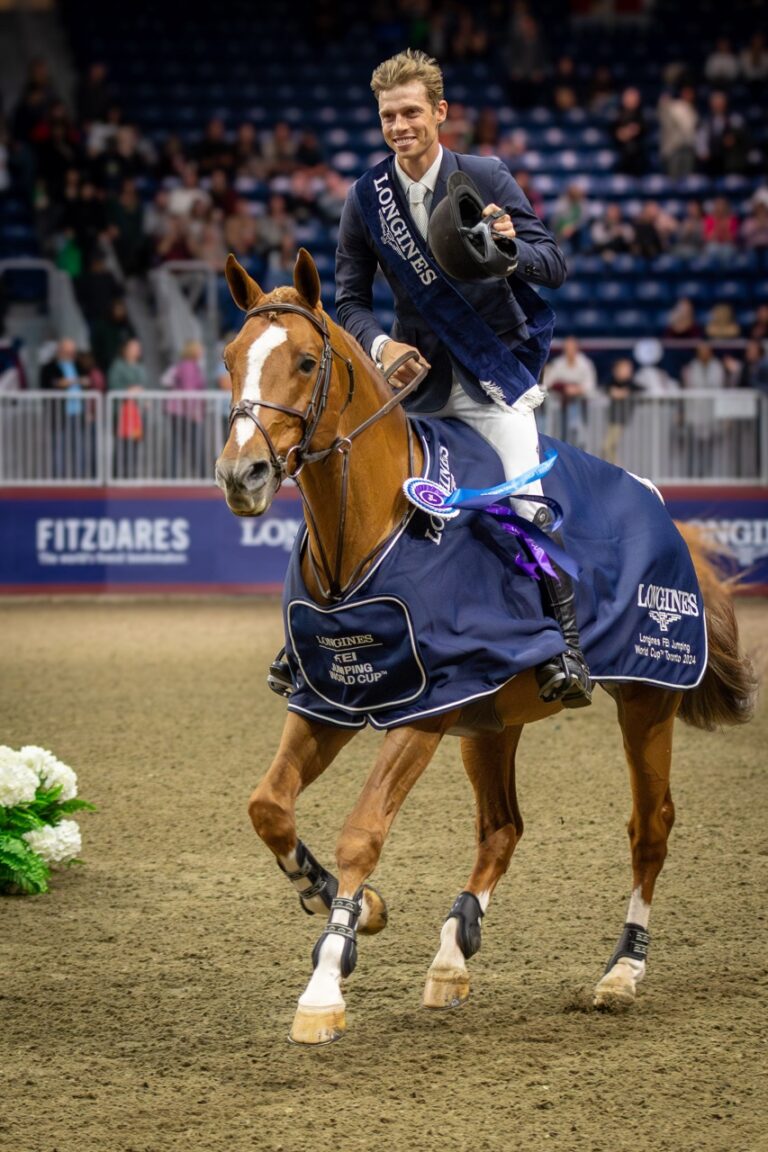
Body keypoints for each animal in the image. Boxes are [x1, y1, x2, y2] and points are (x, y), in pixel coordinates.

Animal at [215, 249, 756, 1046]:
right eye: (229, 361)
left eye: (307, 362)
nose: (241, 475)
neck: (369, 531)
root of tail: (663, 510)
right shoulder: (329, 699)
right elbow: (268, 805)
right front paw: (342, 905)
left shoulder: (426, 709)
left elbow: (362, 832)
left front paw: (325, 984)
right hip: (491, 718)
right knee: (502, 828)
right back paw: (451, 954)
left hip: (647, 698)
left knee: (649, 826)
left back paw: (622, 971)